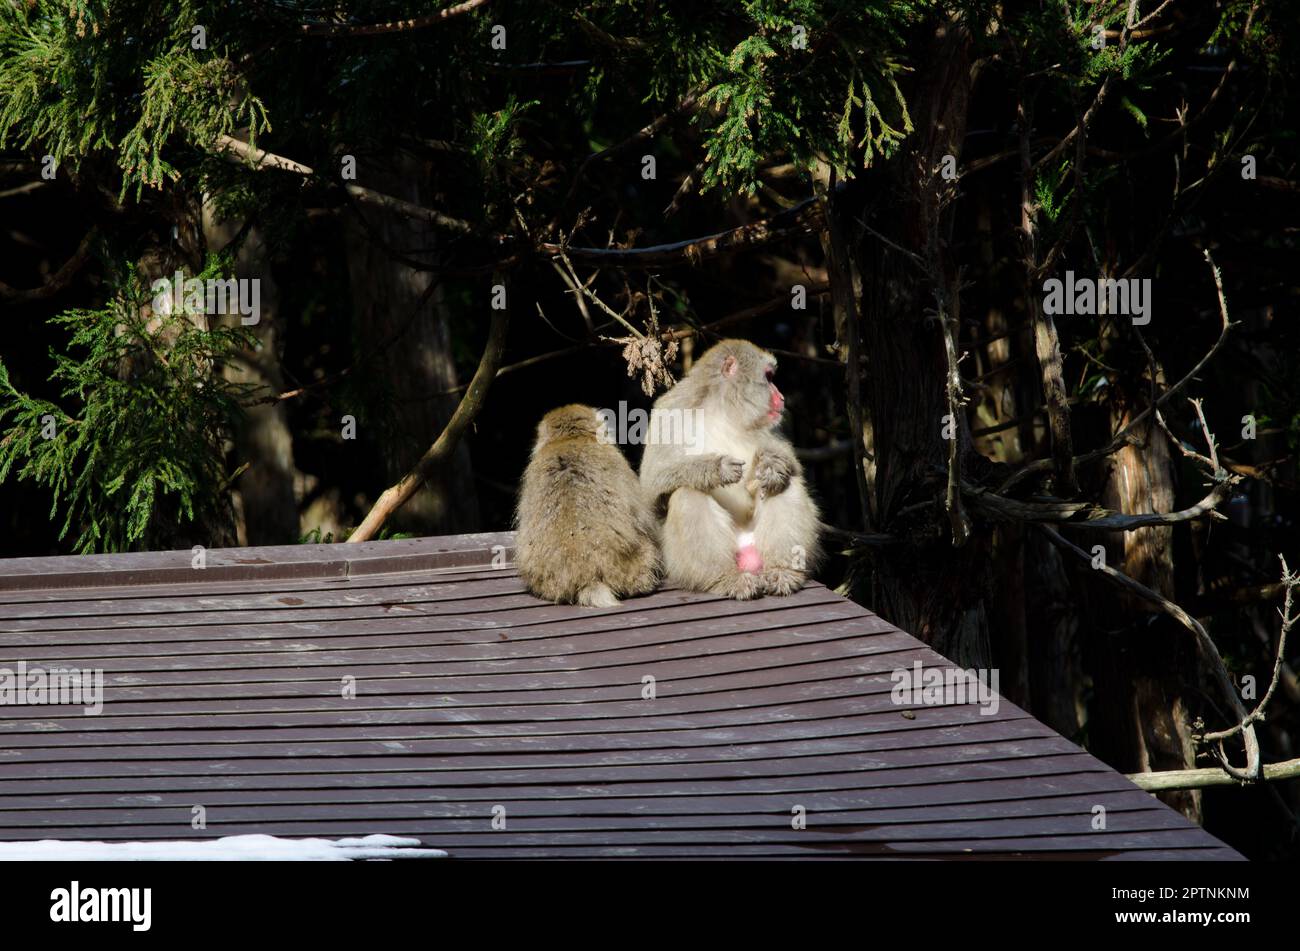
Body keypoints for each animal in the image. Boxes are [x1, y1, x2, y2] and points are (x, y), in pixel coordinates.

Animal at [639, 339, 822, 600]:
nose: (781, 397)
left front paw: (772, 463)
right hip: (677, 561)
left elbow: (791, 465)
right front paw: (714, 469)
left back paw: (782, 571)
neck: (723, 409)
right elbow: (652, 487)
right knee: (687, 492)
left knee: (785, 485)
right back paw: (724, 578)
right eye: (769, 377)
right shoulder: (669, 411)